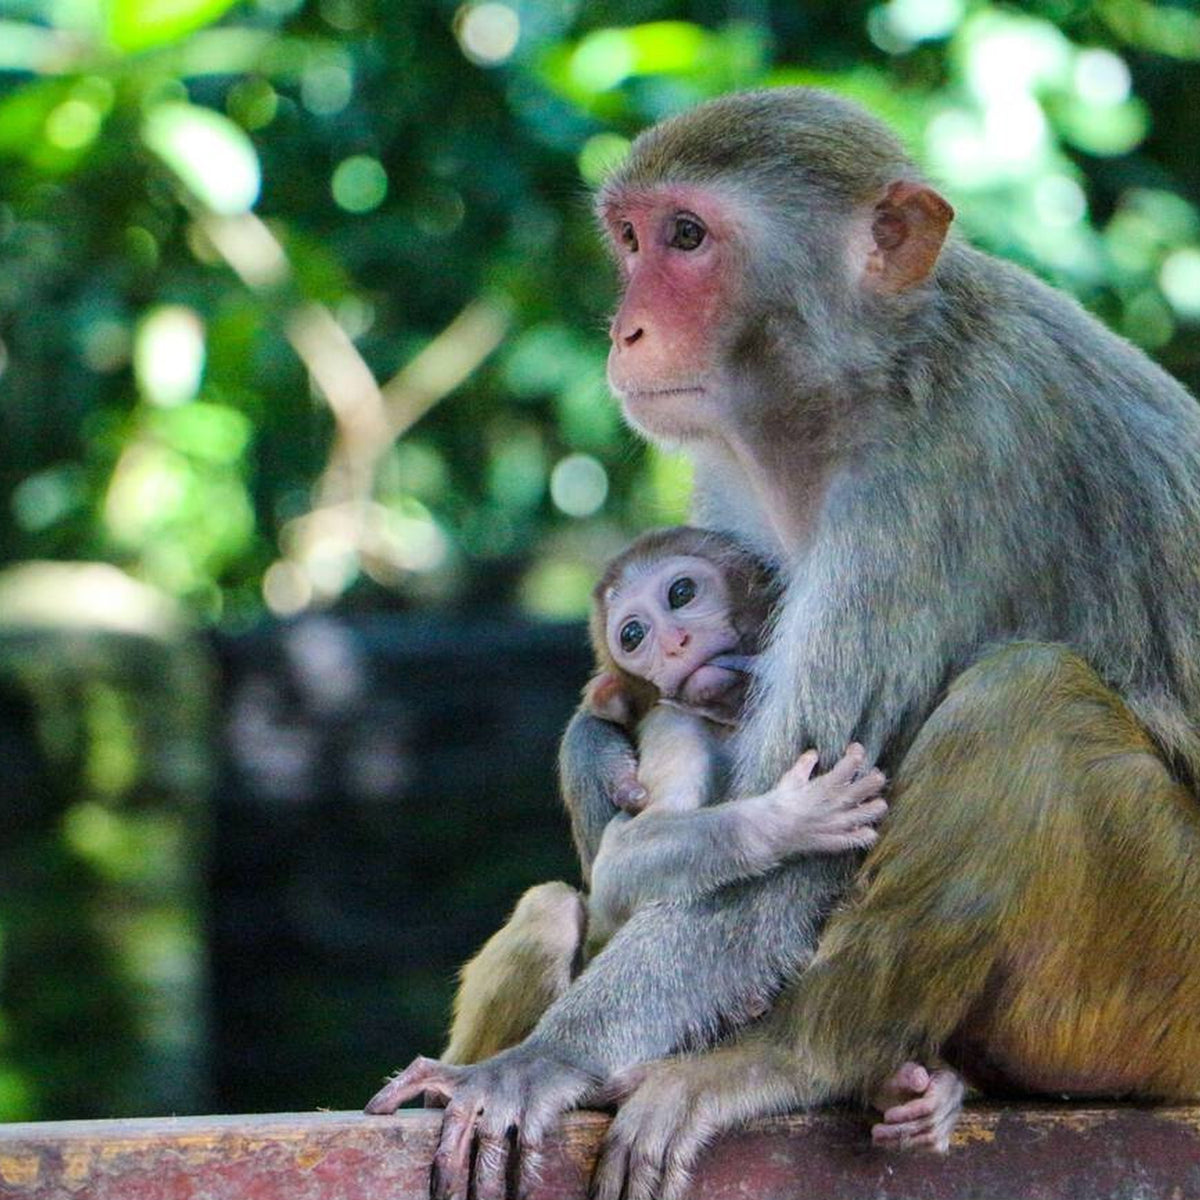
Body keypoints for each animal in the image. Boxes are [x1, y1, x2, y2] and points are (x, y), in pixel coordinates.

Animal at [367, 86, 1200, 1200]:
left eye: (687, 237)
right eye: (630, 238)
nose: (625, 330)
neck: (880, 376)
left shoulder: (928, 493)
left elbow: (781, 877)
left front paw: (540, 1062)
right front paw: (601, 750)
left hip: (1163, 982)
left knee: (1021, 702)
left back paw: (800, 1060)